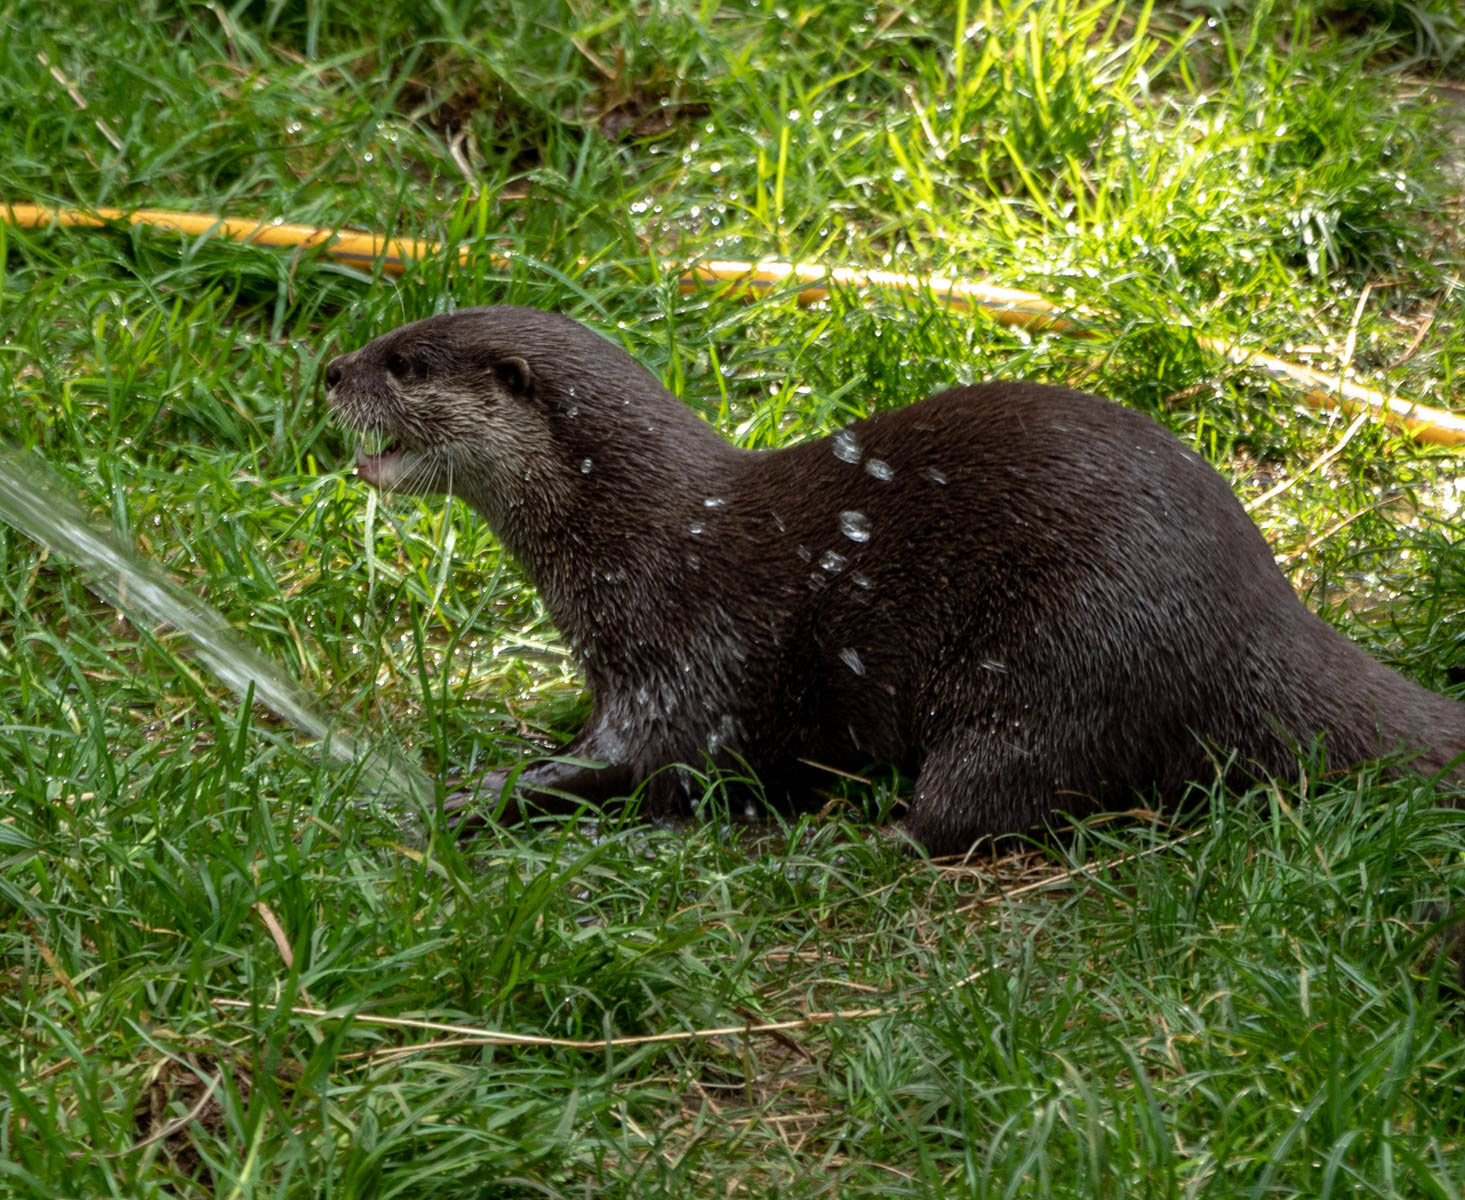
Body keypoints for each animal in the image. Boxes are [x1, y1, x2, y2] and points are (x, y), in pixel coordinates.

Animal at [324, 305, 1465, 855]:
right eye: (385, 342)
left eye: (406, 362)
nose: (328, 371)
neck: (641, 536)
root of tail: (1262, 610)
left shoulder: (688, 656)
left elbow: (649, 764)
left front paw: (479, 795)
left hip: (1062, 658)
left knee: (976, 811)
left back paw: (834, 845)